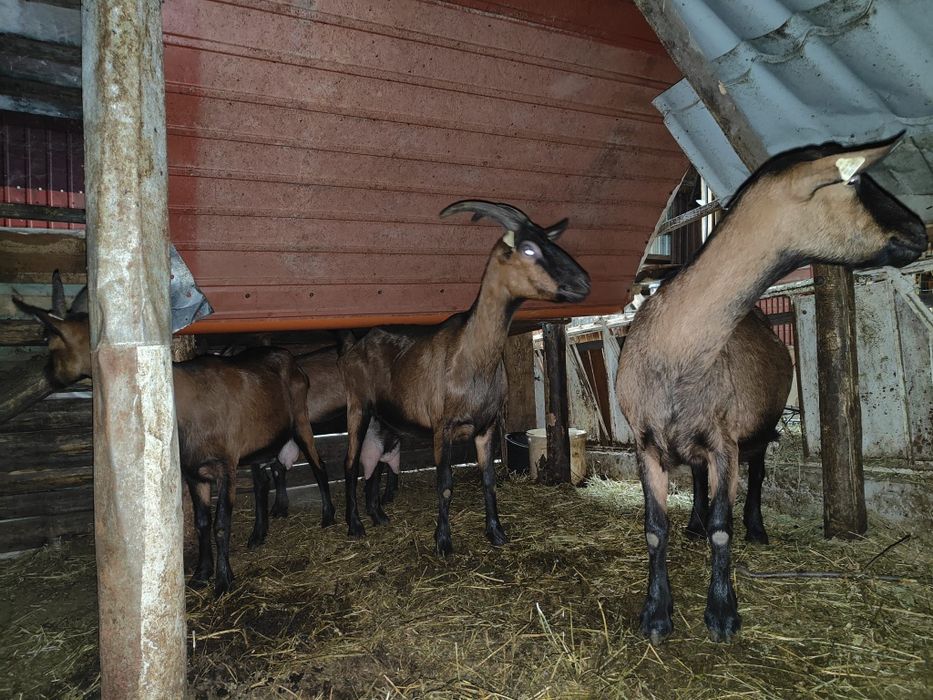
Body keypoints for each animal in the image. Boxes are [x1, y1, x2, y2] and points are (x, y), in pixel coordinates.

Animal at [14, 283, 336, 597]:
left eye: (49, 342)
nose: (48, 375)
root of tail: (293, 362)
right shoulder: (193, 471)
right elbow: (202, 523)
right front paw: (201, 574)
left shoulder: (225, 464)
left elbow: (221, 524)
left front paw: (223, 582)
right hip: (259, 441)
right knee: (263, 479)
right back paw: (258, 535)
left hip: (300, 418)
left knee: (318, 464)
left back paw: (329, 517)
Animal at [339, 200, 591, 554]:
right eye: (528, 249)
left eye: (552, 241)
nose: (583, 282)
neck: (472, 357)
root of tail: (351, 350)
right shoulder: (442, 426)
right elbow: (444, 483)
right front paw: (443, 541)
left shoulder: (486, 427)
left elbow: (489, 480)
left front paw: (496, 533)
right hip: (357, 406)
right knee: (350, 464)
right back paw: (355, 525)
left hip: (384, 420)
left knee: (371, 463)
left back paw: (378, 516)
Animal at [615, 137, 928, 643]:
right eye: (857, 181)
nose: (919, 231)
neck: (678, 353)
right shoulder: (646, 444)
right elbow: (655, 529)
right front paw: (657, 615)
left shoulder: (725, 442)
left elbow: (723, 526)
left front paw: (722, 614)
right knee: (698, 479)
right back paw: (693, 524)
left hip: (763, 423)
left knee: (758, 473)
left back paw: (757, 529)